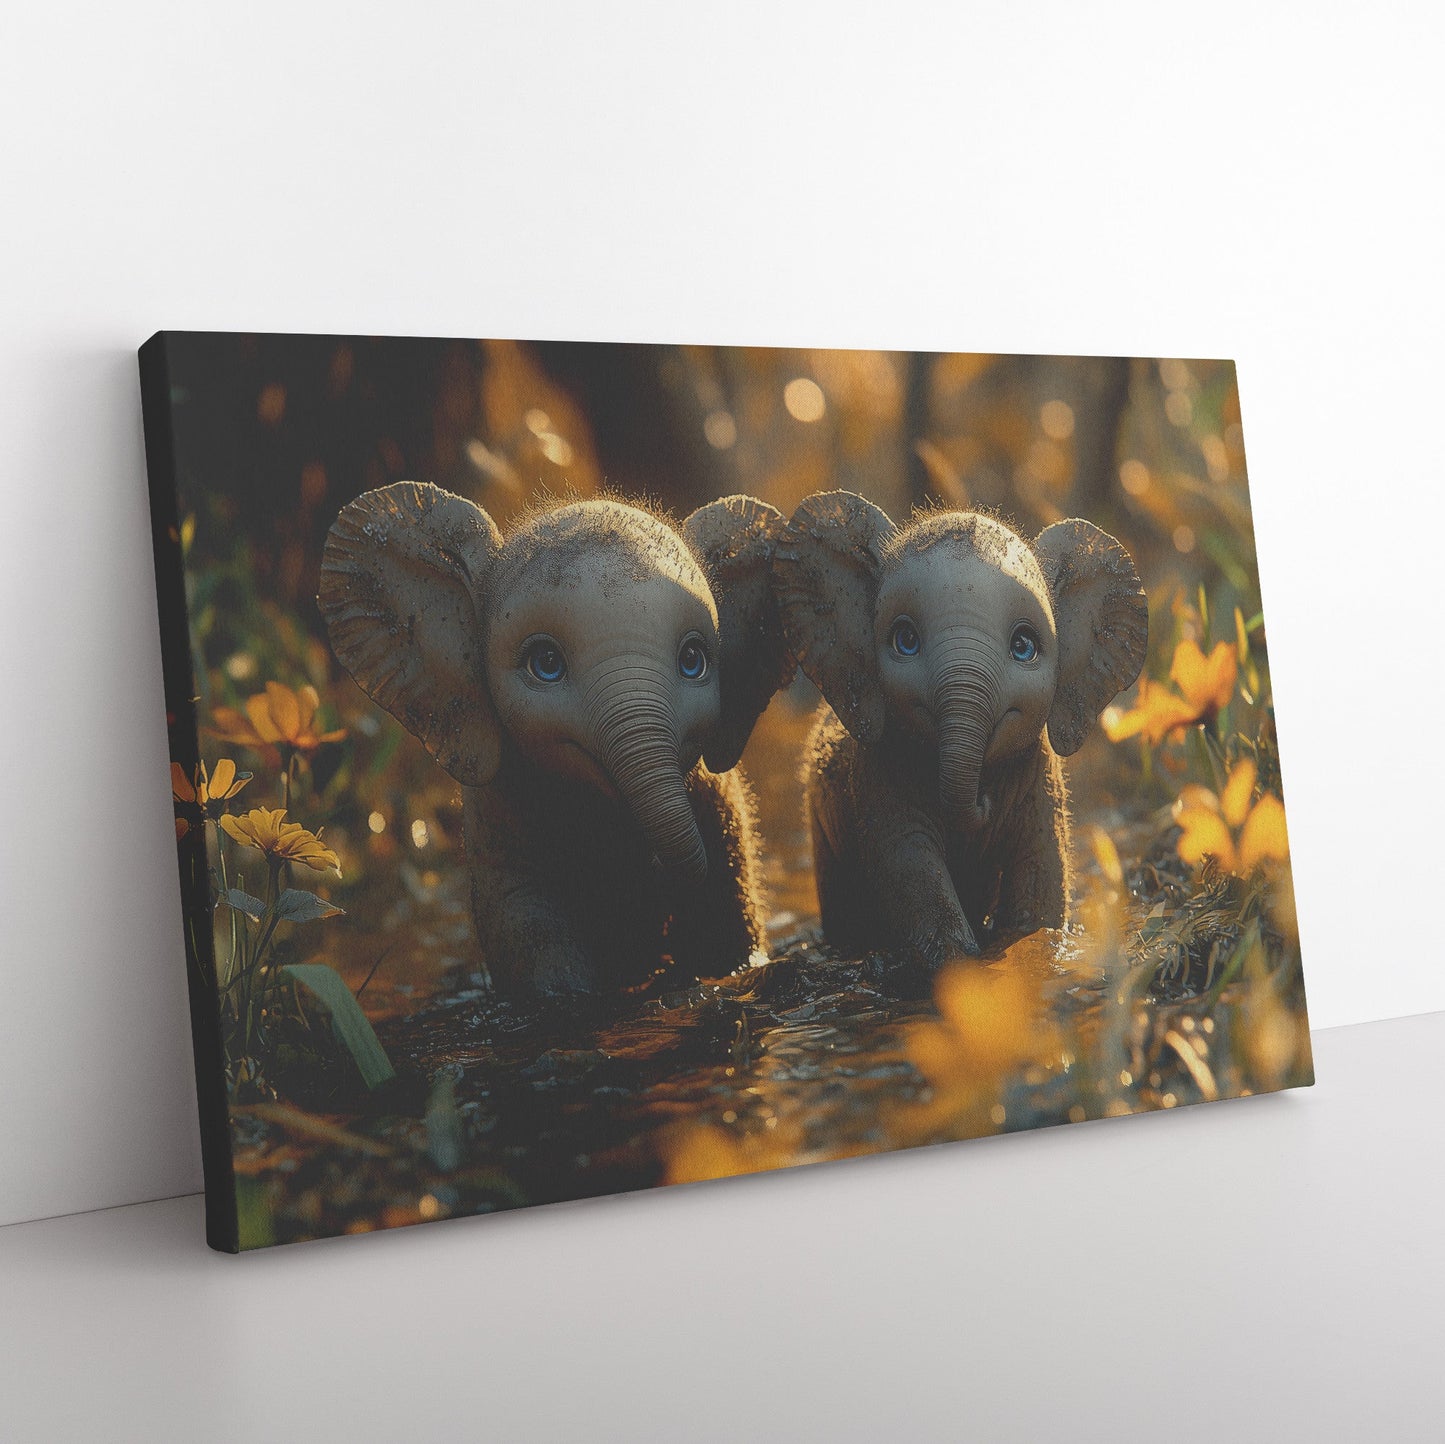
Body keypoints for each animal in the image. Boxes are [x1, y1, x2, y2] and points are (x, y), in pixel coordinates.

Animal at [773, 490, 1147, 966]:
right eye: (905, 640)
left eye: (1023, 646)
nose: (984, 798)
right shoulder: (878, 777)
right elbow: (911, 867)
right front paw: (961, 958)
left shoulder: (1041, 783)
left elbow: (1040, 880)